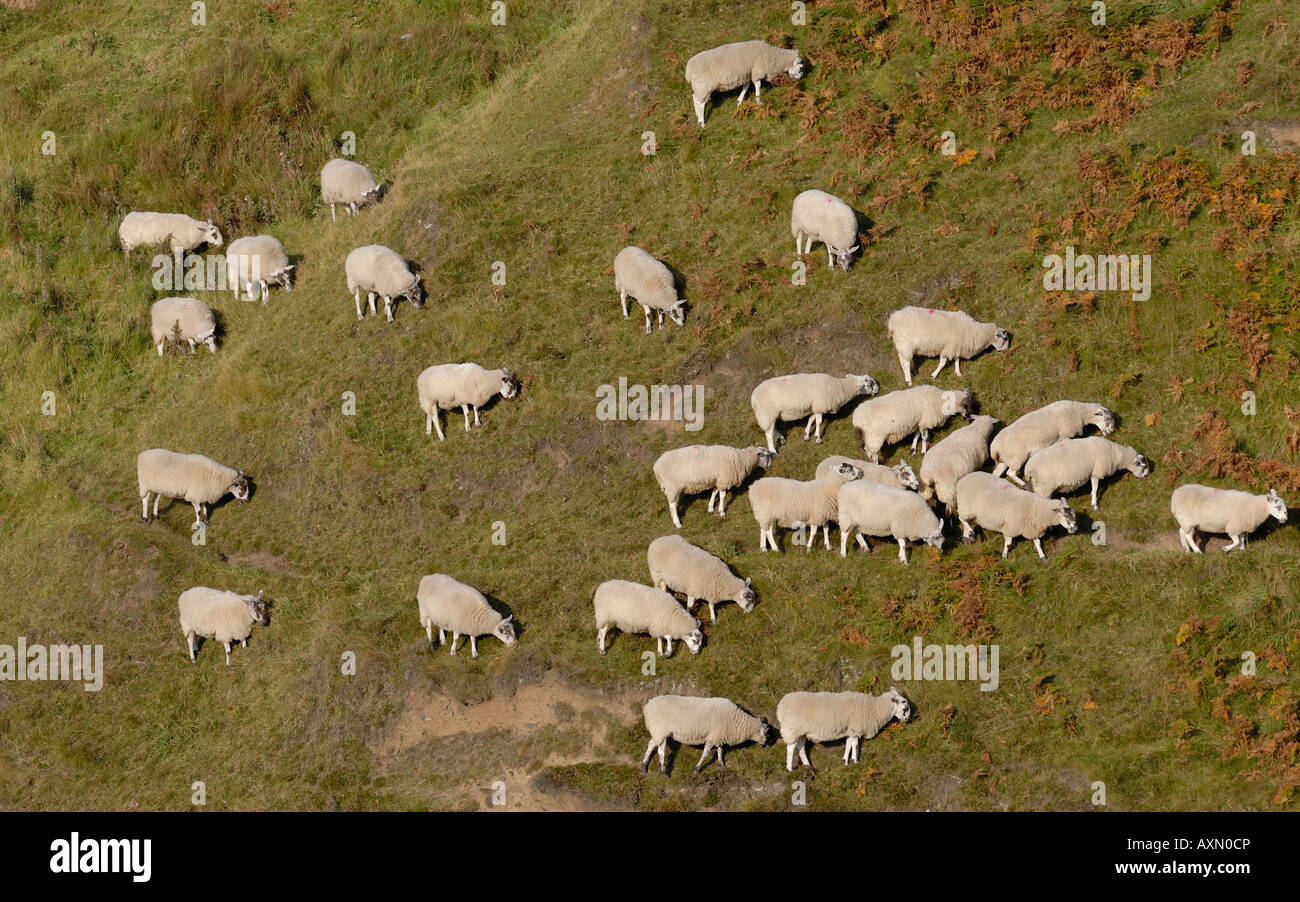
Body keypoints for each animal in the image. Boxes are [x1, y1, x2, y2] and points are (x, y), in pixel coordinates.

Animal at [641, 695, 770, 775]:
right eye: (766, 733)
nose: (765, 745)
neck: (736, 721)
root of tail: (647, 706)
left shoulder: (718, 736)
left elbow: (720, 750)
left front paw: (721, 764)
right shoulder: (712, 738)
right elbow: (706, 754)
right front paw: (697, 769)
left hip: (659, 731)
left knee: (653, 745)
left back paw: (646, 767)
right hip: (660, 730)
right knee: (658, 749)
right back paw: (662, 770)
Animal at [750, 373, 879, 453]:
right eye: (869, 383)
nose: (878, 389)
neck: (838, 387)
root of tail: (753, 398)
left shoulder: (814, 407)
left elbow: (811, 420)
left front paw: (806, 435)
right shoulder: (820, 405)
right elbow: (819, 422)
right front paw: (817, 438)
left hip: (772, 414)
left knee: (772, 429)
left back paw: (781, 438)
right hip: (766, 412)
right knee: (768, 433)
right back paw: (773, 451)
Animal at [777, 688, 913, 771]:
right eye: (905, 708)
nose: (907, 720)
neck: (875, 708)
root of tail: (780, 708)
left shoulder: (851, 730)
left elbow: (848, 744)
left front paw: (846, 761)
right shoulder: (856, 727)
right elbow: (855, 744)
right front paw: (855, 761)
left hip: (802, 732)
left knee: (800, 747)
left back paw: (808, 766)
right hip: (792, 729)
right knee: (790, 748)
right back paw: (790, 769)